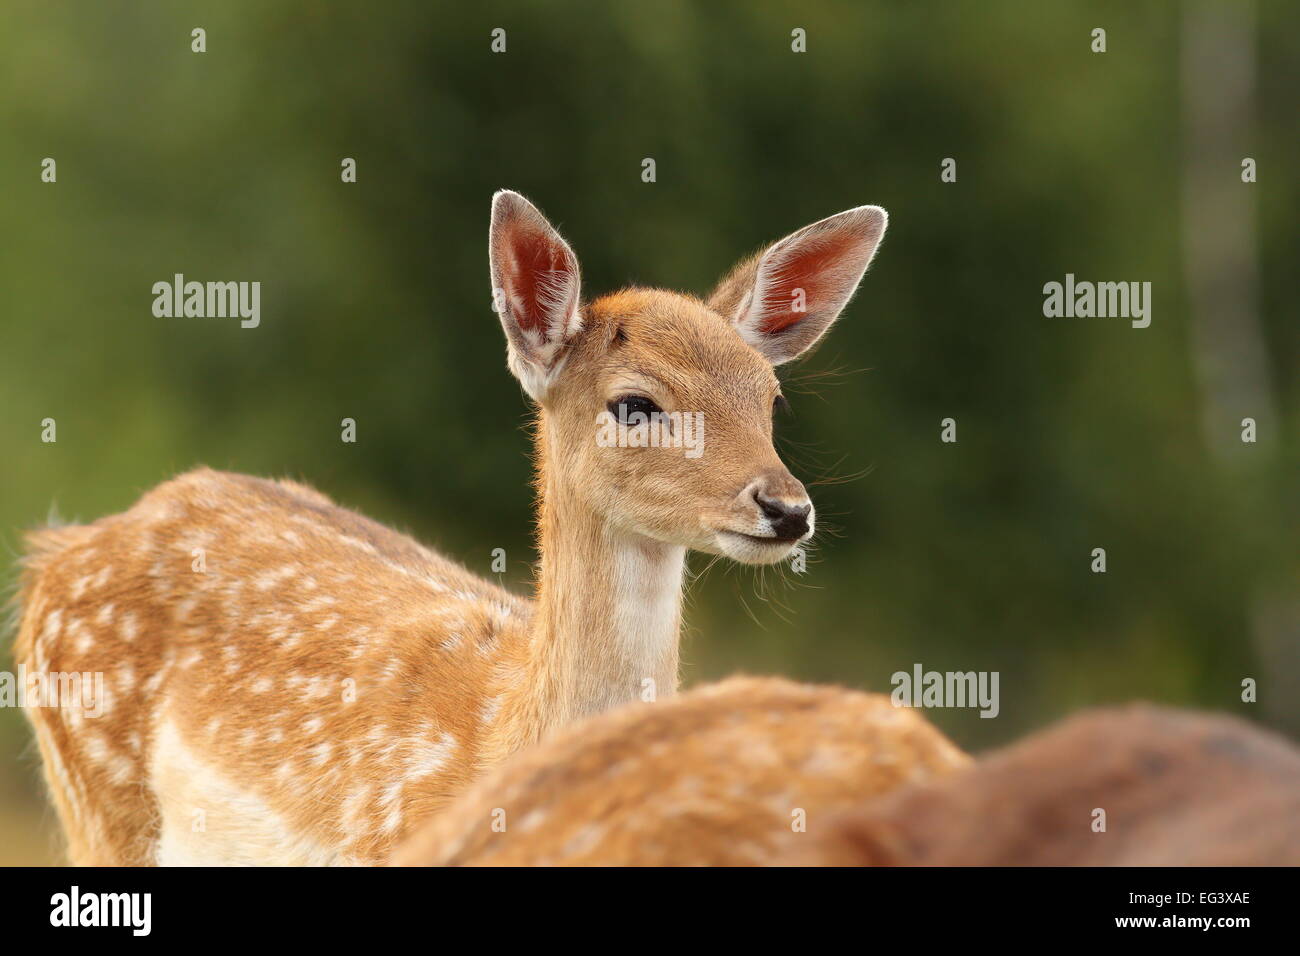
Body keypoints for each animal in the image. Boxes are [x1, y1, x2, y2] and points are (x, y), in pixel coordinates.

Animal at [13, 190, 889, 865]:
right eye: (636, 403)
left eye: (770, 398)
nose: (788, 509)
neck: (499, 745)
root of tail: (55, 553)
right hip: (93, 796)